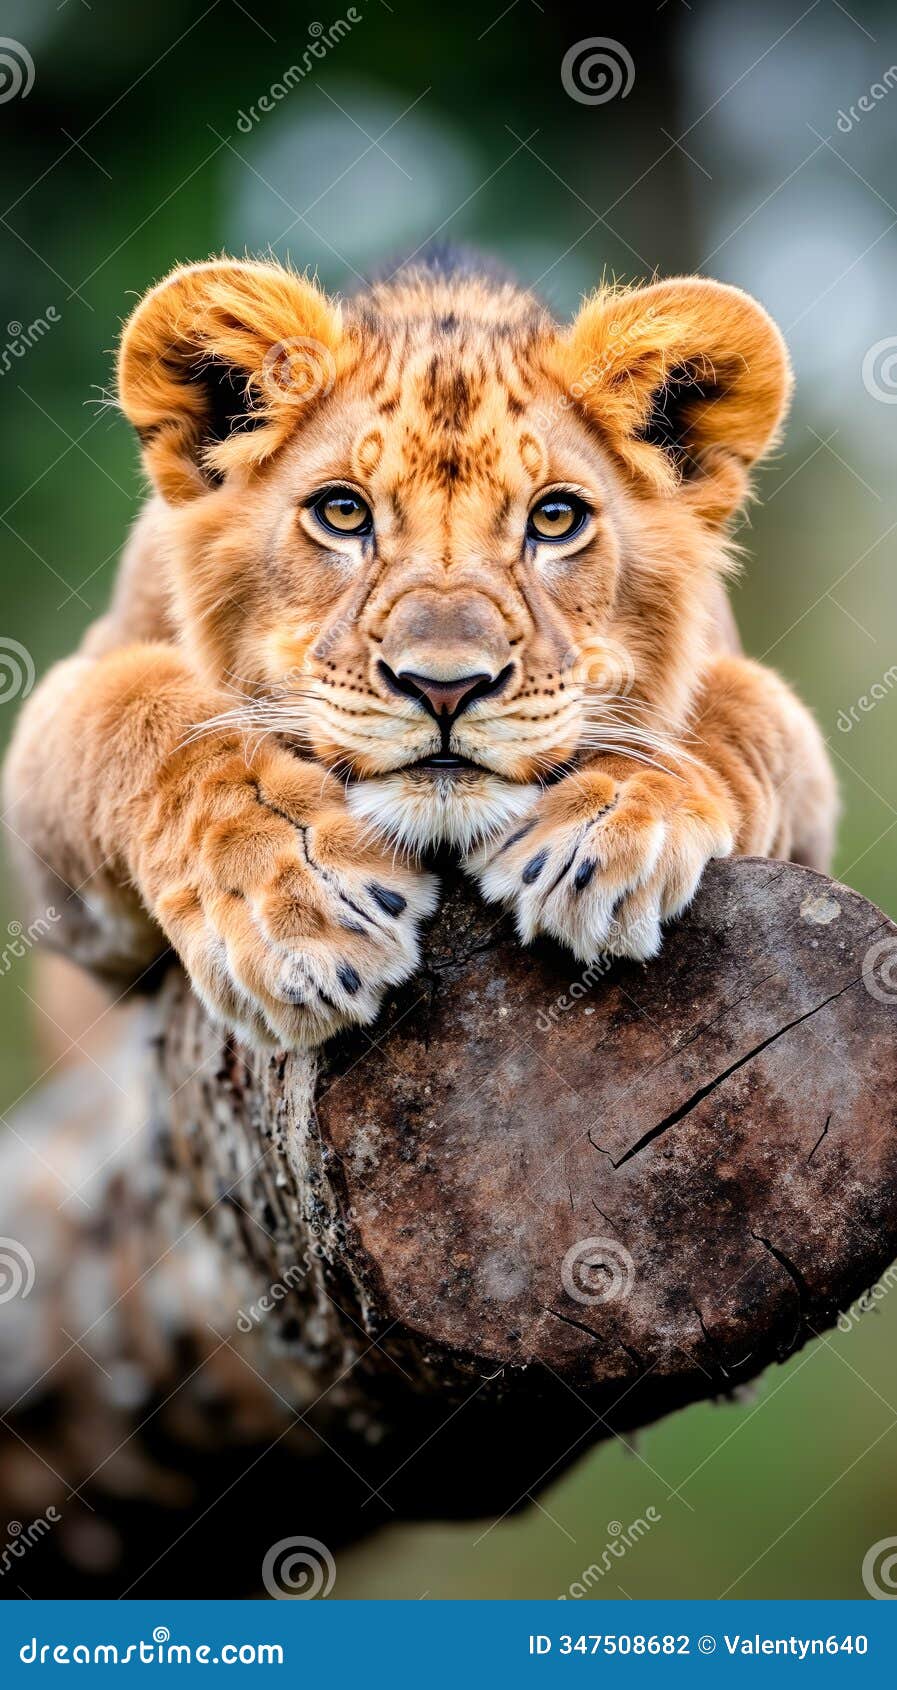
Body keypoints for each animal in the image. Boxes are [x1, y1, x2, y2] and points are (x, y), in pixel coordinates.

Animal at [2, 248, 837, 1049]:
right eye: (342, 512)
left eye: (555, 519)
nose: (444, 688)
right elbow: (146, 720)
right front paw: (302, 908)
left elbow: (742, 709)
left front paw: (609, 826)